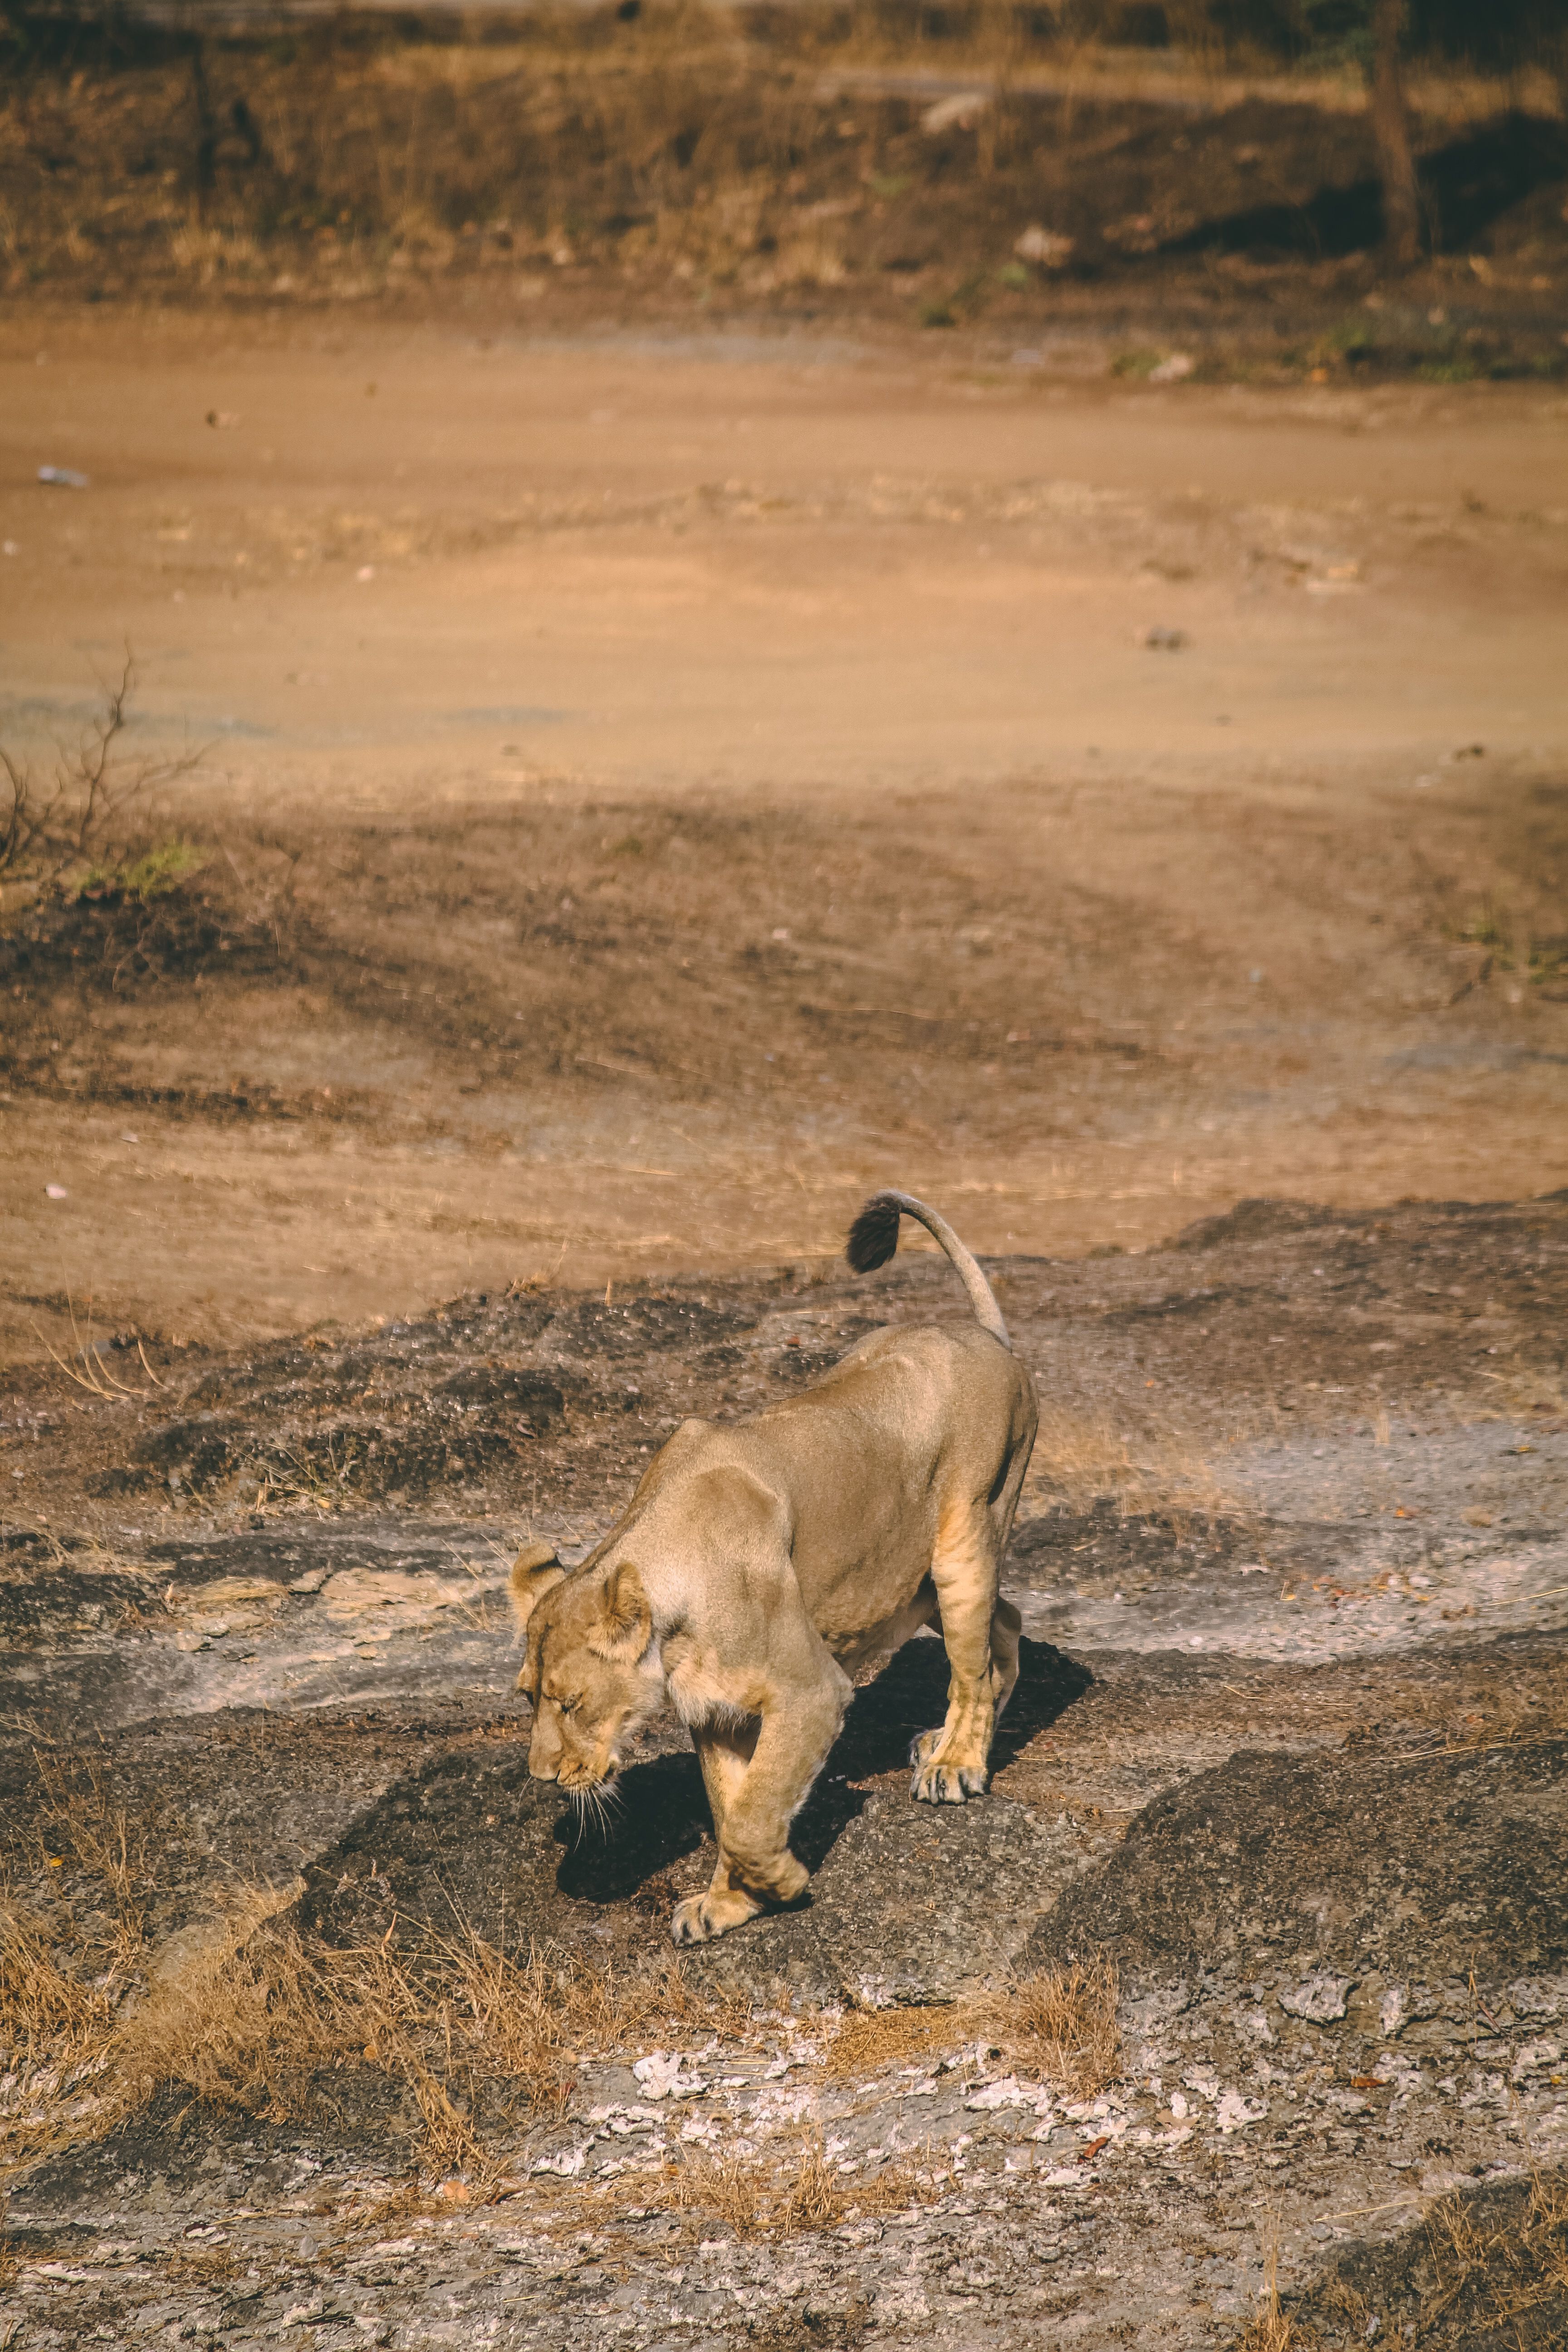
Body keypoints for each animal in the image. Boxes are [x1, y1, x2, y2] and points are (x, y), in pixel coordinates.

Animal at [508, 1189, 1038, 1944]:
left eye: (571, 1702)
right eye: (527, 1698)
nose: (544, 1778)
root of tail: (986, 1336)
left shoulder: (811, 1690)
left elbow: (754, 1817)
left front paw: (783, 1882)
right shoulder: (716, 1713)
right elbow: (731, 1803)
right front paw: (730, 1905)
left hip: (966, 1538)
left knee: (971, 1669)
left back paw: (956, 1765)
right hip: (919, 1584)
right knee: (1008, 1626)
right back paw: (953, 1739)